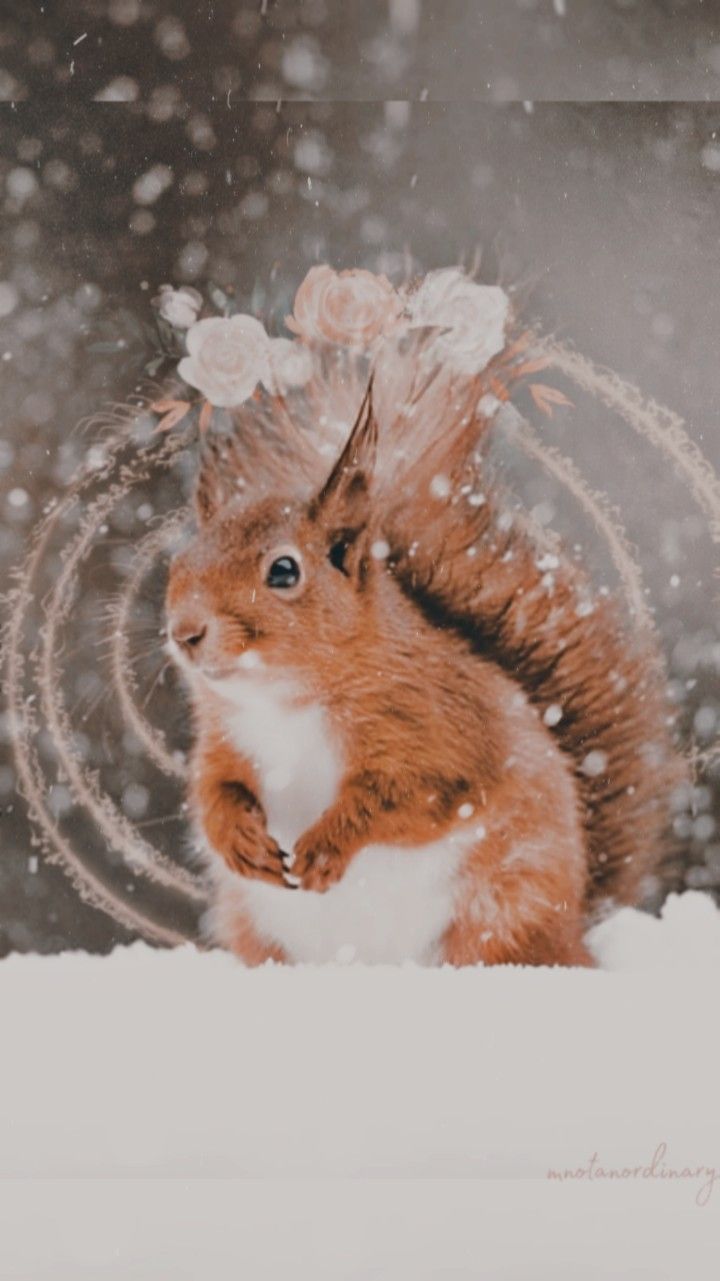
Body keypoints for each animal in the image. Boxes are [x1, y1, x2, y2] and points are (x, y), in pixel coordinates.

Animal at [166, 379, 685, 968]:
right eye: (178, 564)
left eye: (283, 571)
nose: (184, 631)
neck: (283, 705)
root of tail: (573, 931)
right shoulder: (222, 744)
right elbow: (213, 794)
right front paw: (238, 841)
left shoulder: (443, 739)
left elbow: (403, 798)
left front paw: (325, 846)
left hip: (498, 917)